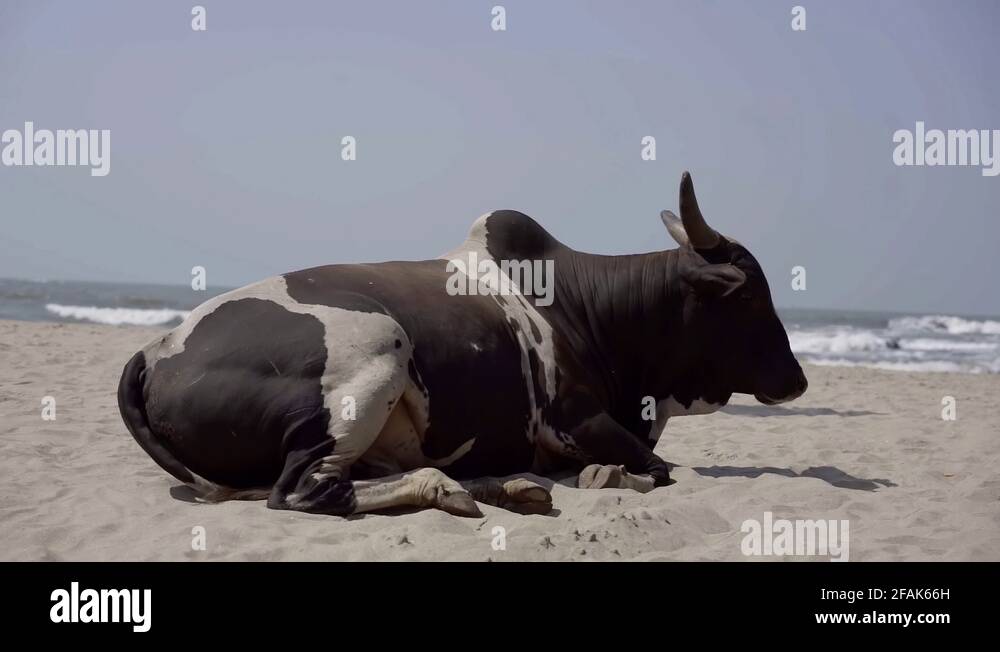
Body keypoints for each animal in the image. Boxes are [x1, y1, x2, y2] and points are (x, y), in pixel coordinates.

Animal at [118, 172, 807, 517]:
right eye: (749, 295)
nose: (798, 379)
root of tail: (156, 351)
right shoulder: (577, 418)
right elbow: (657, 470)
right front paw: (609, 474)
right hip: (382, 342)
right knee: (304, 490)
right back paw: (451, 488)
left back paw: (506, 487)